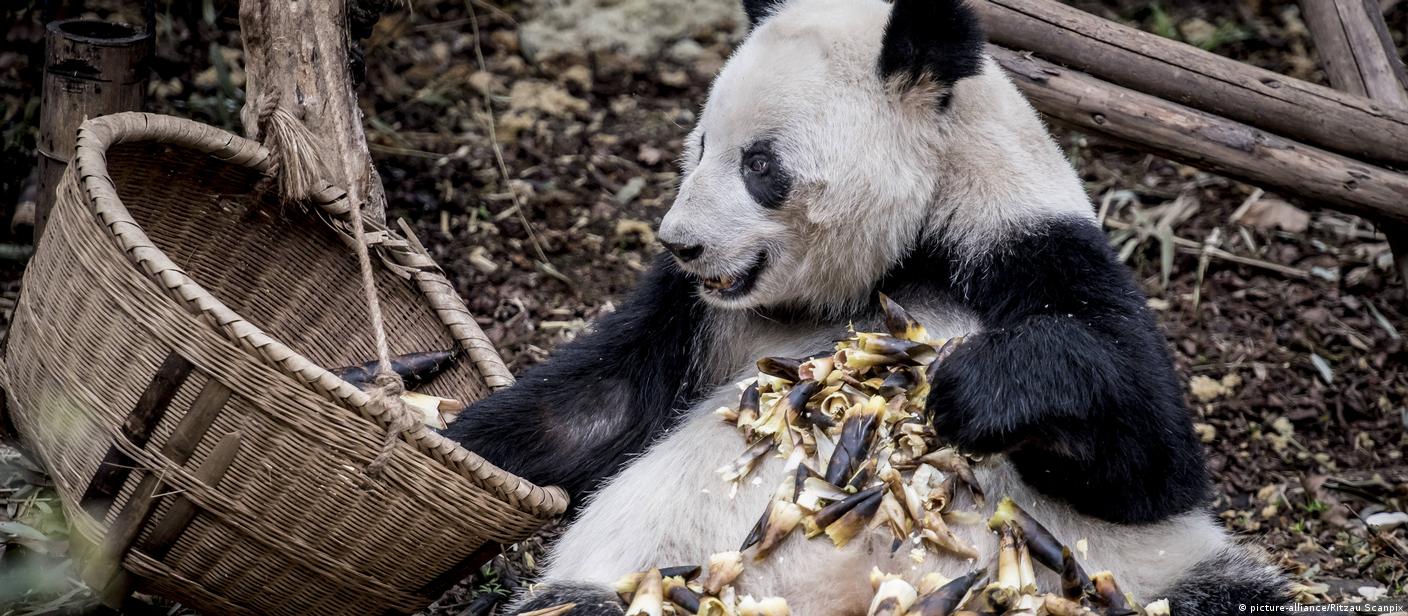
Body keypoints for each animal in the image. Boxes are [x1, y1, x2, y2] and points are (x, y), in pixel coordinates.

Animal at [443, 0, 1291, 613]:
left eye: (760, 165)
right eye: (700, 145)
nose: (681, 243)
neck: (897, 258)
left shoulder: (1030, 248)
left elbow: (1152, 457)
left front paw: (981, 390)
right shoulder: (703, 314)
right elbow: (594, 407)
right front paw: (451, 450)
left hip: (1138, 574)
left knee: (1230, 594)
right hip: (644, 572)